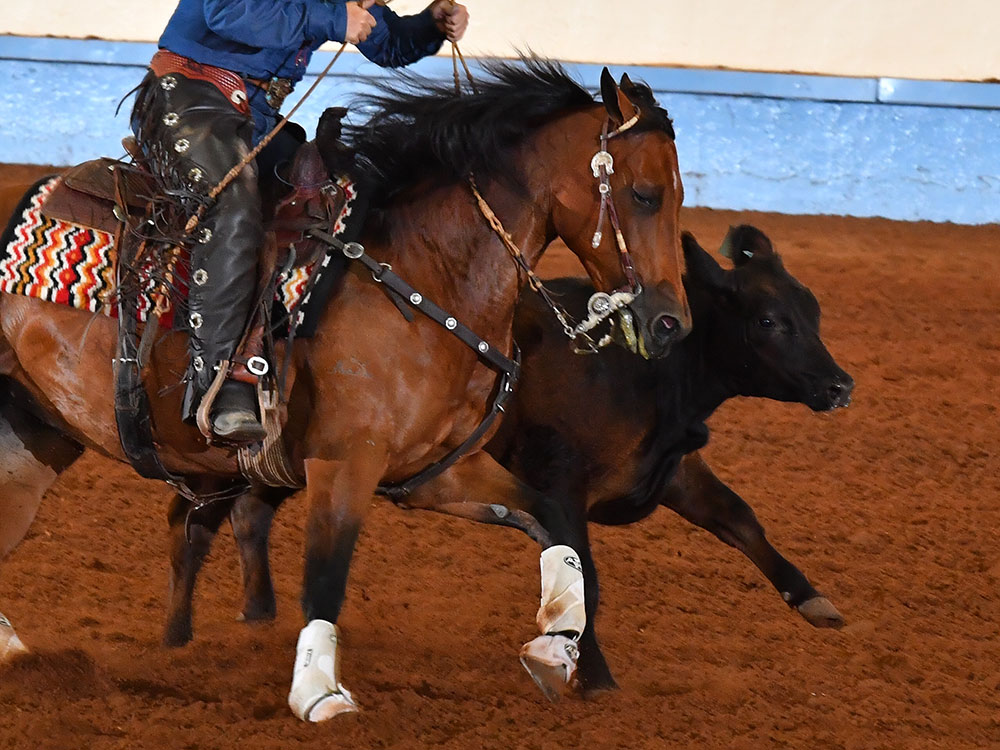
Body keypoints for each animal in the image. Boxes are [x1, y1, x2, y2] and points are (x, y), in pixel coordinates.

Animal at [0, 59, 690, 719]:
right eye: (645, 194)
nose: (671, 324)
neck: (423, 273)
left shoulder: (436, 473)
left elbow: (553, 524)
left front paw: (555, 651)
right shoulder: (345, 462)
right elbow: (326, 577)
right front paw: (319, 695)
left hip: (37, 433)